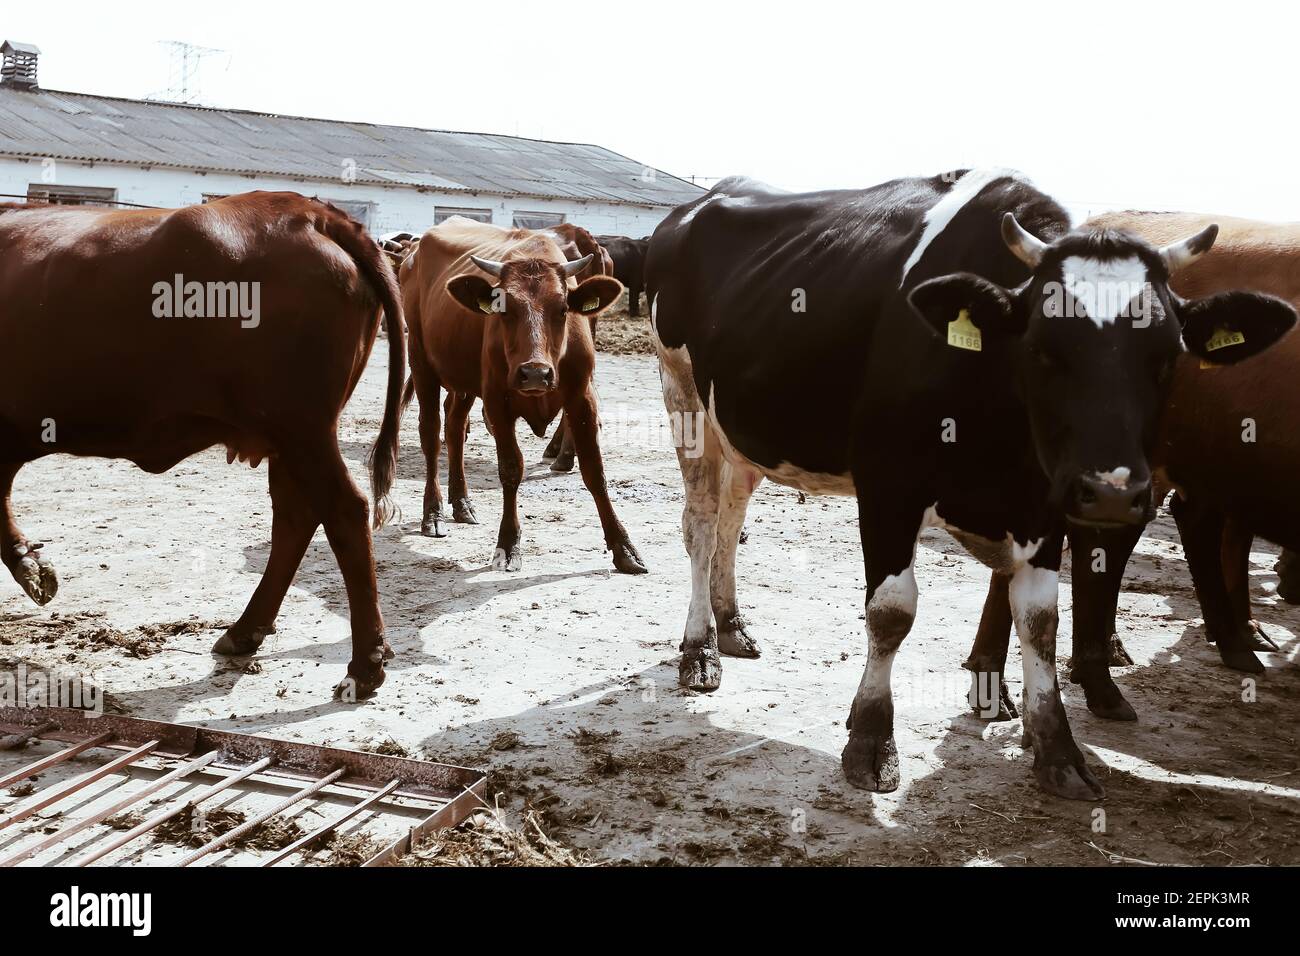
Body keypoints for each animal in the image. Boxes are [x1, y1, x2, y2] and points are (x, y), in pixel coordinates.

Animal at [0, 192, 407, 699]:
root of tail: (304, 209)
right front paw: (32, 569)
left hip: (301, 427)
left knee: (343, 511)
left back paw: (365, 663)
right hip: (288, 438)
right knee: (296, 515)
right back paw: (246, 631)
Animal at [399, 216, 647, 574]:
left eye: (563, 309)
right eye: (503, 308)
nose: (535, 373)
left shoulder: (582, 399)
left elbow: (594, 471)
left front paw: (624, 547)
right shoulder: (497, 402)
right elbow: (510, 469)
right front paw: (508, 544)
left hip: (464, 379)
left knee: (455, 427)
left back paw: (462, 503)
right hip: (421, 362)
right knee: (431, 435)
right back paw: (433, 513)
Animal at [647, 170, 1294, 799]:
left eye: (1167, 357)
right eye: (1041, 349)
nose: (1113, 491)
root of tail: (699, 203)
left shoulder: (1046, 505)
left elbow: (1040, 620)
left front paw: (1058, 751)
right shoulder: (890, 485)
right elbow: (891, 613)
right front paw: (872, 742)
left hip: (739, 426)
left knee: (732, 513)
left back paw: (732, 625)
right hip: (684, 397)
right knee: (701, 523)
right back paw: (700, 649)